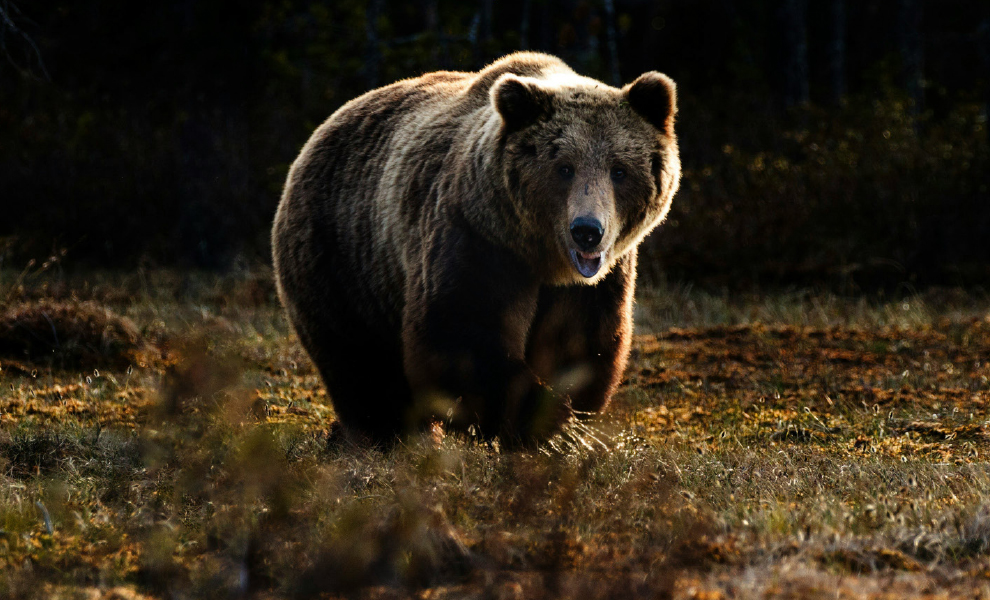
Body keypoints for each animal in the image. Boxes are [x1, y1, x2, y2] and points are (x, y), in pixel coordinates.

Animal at [272, 52, 680, 445]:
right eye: (564, 167)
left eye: (619, 170)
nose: (587, 231)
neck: (542, 256)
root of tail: (320, 131)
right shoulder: (476, 238)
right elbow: (461, 335)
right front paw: (543, 425)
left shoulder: (597, 281)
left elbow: (581, 344)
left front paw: (564, 424)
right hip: (342, 255)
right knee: (360, 361)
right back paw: (386, 435)